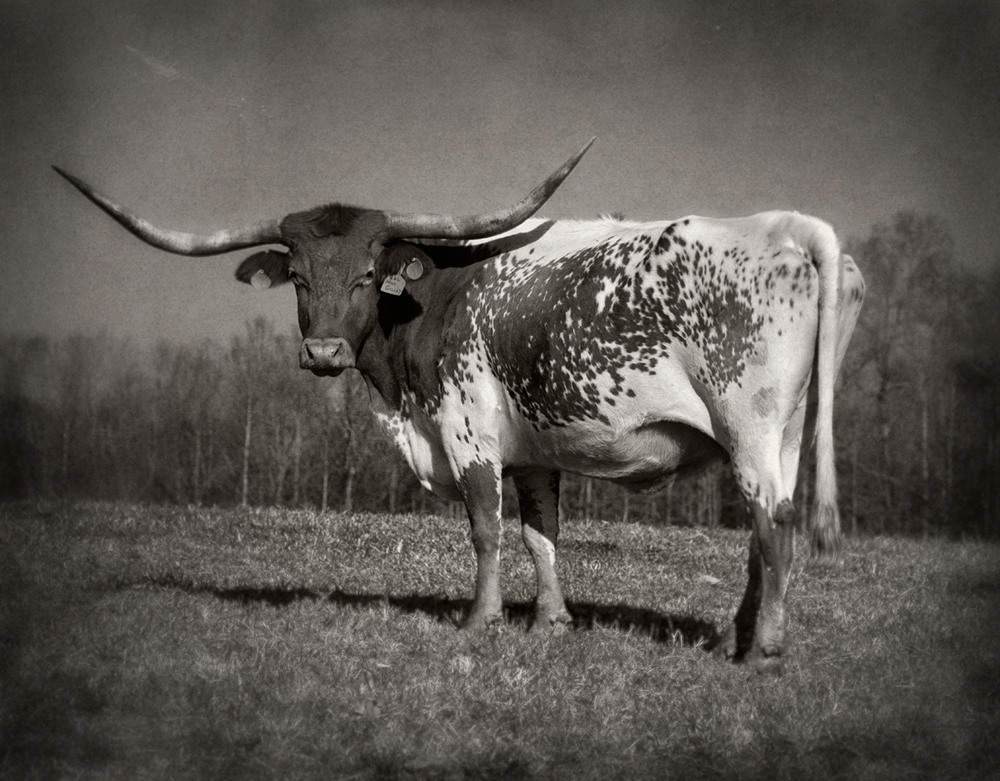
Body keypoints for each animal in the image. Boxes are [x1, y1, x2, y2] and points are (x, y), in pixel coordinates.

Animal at [54, 139, 864, 672]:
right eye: (300, 279)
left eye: (368, 273)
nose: (323, 353)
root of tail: (786, 225)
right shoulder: (534, 450)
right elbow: (541, 534)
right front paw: (551, 622)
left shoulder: (467, 431)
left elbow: (484, 528)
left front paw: (481, 620)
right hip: (783, 433)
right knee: (764, 526)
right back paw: (734, 636)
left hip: (749, 424)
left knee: (773, 523)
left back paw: (764, 649)